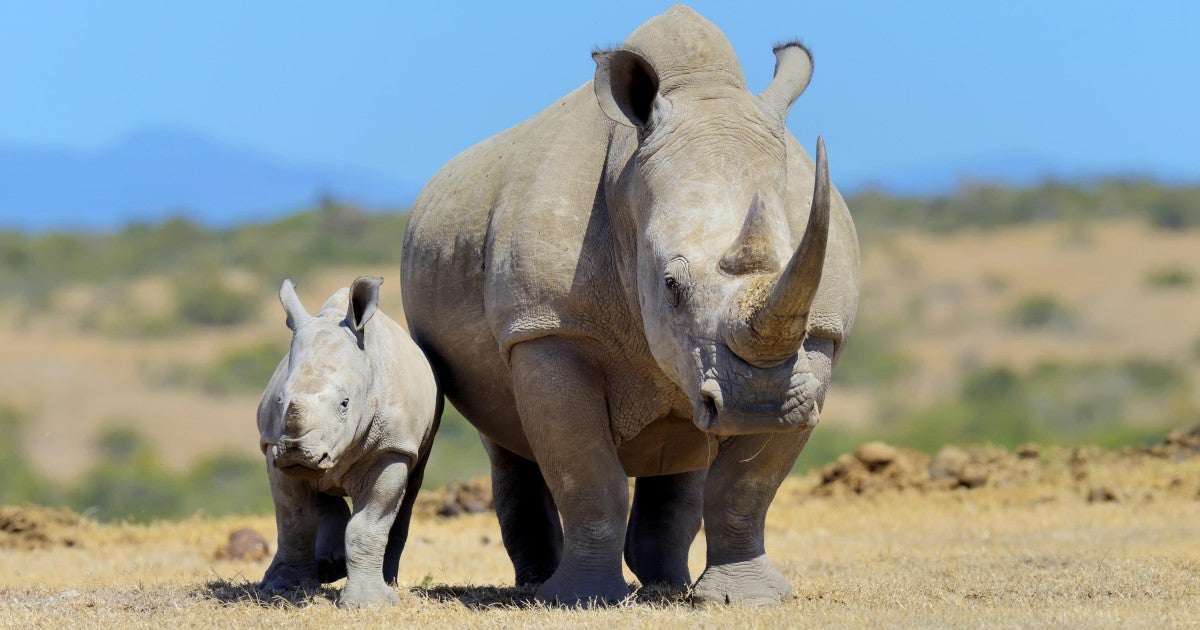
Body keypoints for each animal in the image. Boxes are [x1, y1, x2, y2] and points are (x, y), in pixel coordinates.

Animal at [257, 276, 440, 609]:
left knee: (408, 491)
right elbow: (294, 521)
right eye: (279, 401)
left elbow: (368, 524)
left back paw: (387, 582)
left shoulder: (391, 447)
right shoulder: (272, 446)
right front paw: (284, 589)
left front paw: (369, 604)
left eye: (345, 404)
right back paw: (329, 567)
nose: (296, 451)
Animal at [401, 6, 859, 605]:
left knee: (686, 443)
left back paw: (669, 585)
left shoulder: (818, 338)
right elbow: (587, 476)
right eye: (670, 285)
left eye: (802, 265)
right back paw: (537, 587)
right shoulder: (549, 329)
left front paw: (745, 599)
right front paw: (578, 600)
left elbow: (746, 487)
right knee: (506, 438)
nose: (758, 403)